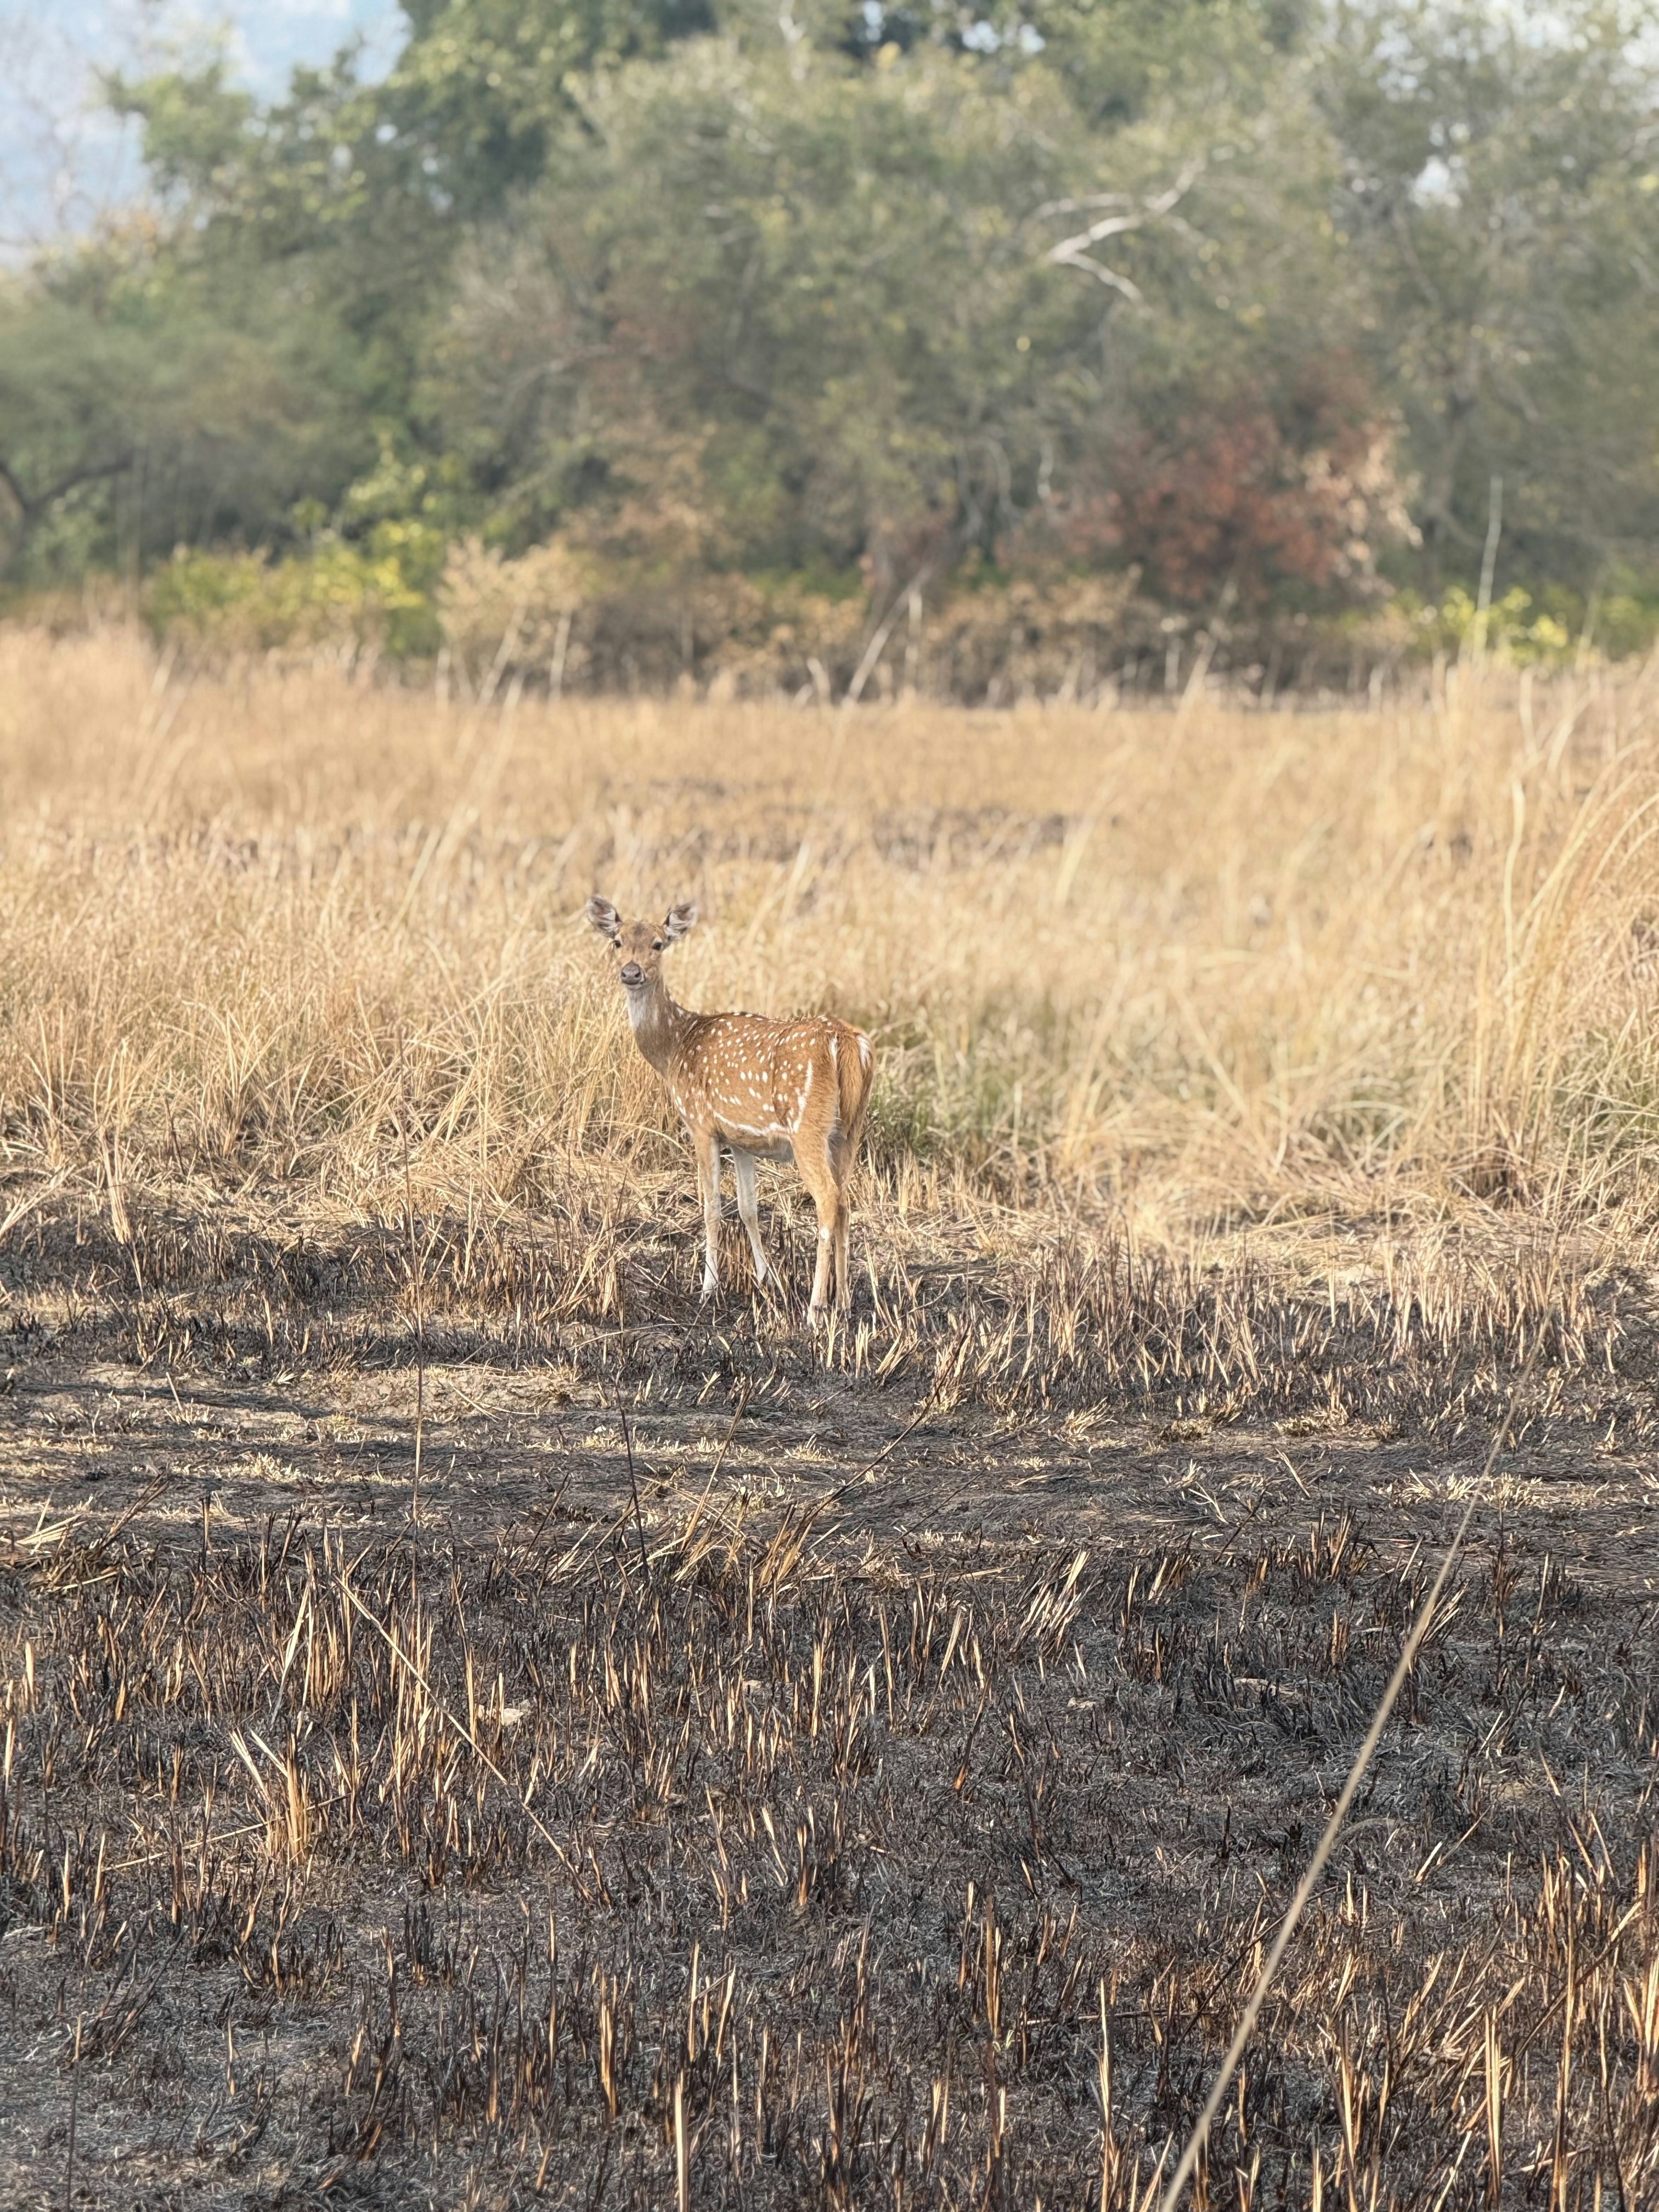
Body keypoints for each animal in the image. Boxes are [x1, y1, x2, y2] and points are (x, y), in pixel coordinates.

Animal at [585, 897, 874, 1318]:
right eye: (617, 941)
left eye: (659, 944)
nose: (631, 973)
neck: (675, 1048)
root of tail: (847, 1043)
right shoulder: (741, 1140)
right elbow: (748, 1207)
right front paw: (766, 1280)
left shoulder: (701, 1124)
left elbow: (712, 1208)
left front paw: (708, 1289)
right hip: (850, 1129)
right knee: (846, 1203)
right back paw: (845, 1302)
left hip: (807, 1126)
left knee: (827, 1200)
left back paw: (815, 1308)